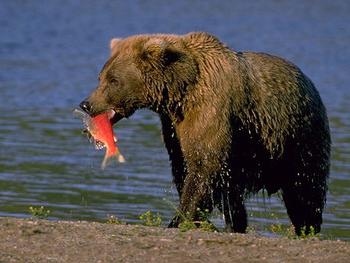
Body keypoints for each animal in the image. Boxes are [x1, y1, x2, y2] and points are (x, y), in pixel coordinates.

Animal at [79, 32, 330, 236]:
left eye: (113, 80)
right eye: (101, 76)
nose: (86, 104)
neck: (180, 92)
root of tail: (309, 81)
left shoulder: (210, 109)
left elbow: (204, 165)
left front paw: (179, 219)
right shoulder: (174, 125)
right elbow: (184, 165)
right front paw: (198, 219)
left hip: (299, 138)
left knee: (305, 189)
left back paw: (306, 228)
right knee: (233, 194)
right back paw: (236, 224)